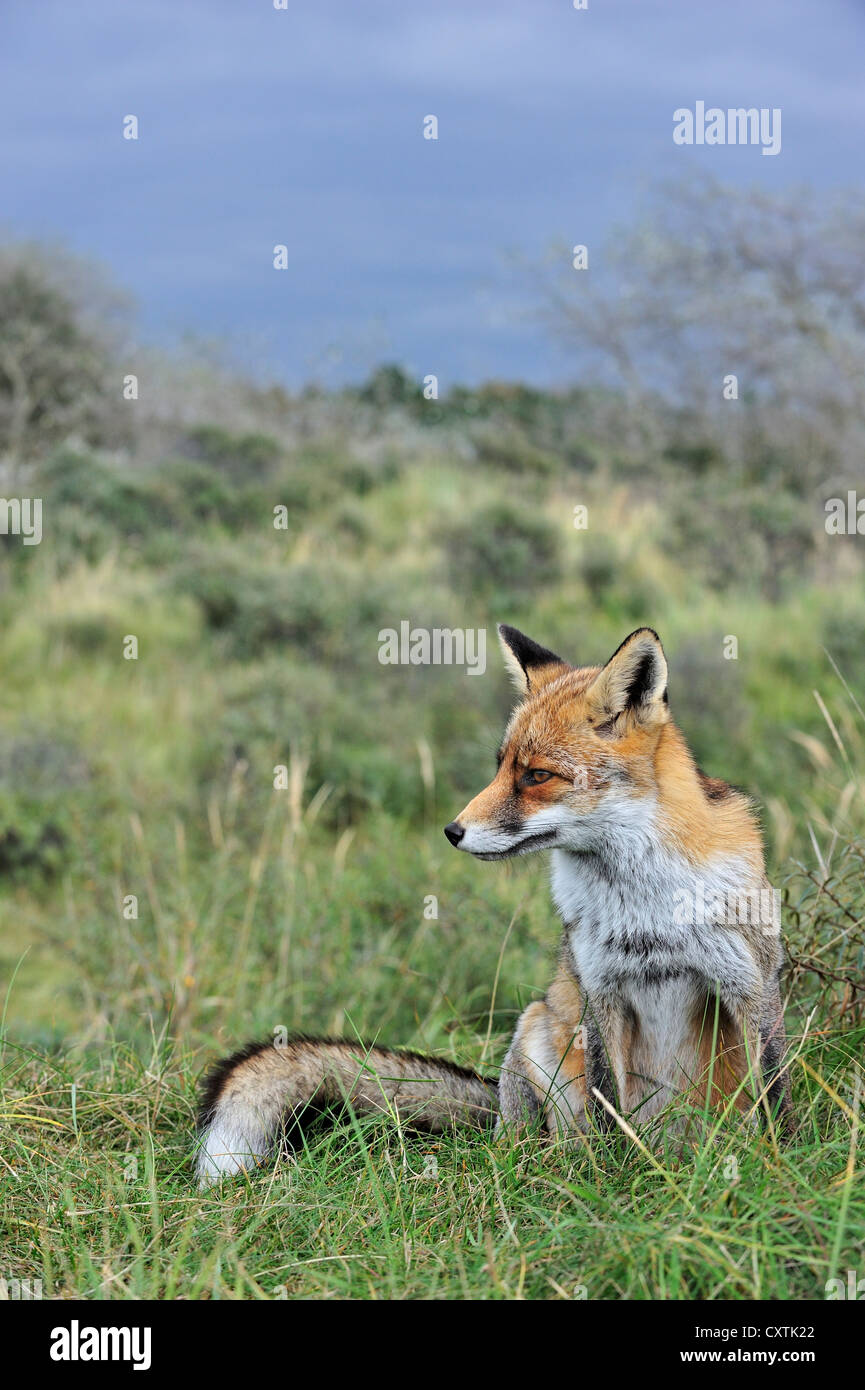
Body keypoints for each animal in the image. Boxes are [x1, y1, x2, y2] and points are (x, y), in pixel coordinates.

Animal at [195, 624, 791, 1185]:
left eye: (537, 775)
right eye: (501, 766)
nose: (452, 831)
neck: (644, 904)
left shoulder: (751, 986)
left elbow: (774, 1094)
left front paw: (785, 1162)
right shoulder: (600, 994)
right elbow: (608, 1106)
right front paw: (618, 1175)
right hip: (535, 1028)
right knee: (534, 1138)